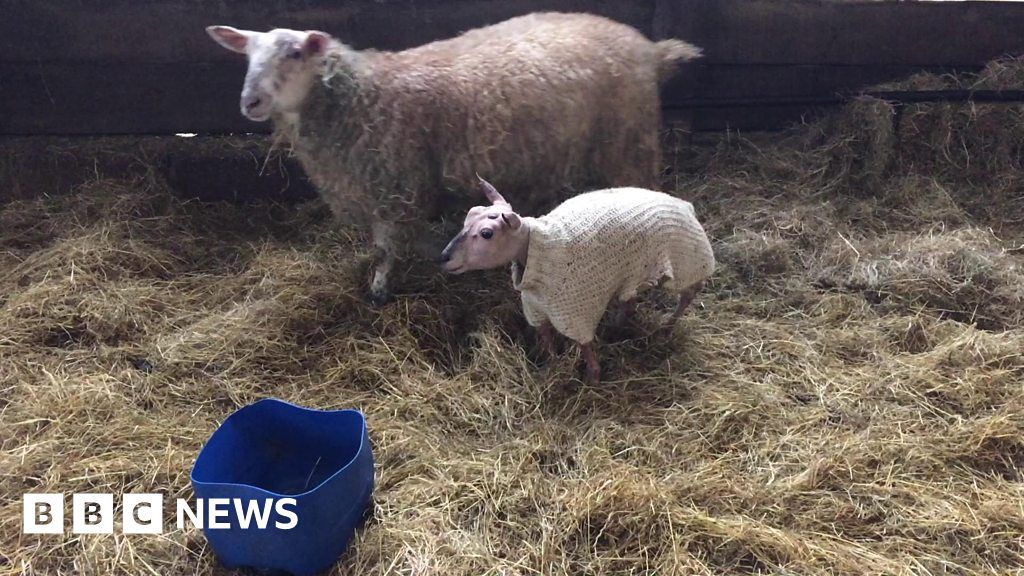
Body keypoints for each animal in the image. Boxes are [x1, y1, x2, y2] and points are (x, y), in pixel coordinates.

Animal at [206, 12, 701, 305]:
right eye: (247, 56)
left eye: (294, 53)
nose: (250, 103)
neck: (363, 97)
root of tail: (649, 48)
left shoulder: (395, 186)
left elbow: (387, 245)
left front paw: (382, 287)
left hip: (629, 139)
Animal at [440, 178, 714, 382]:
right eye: (469, 215)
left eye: (486, 233)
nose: (443, 257)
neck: (540, 250)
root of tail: (685, 205)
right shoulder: (536, 308)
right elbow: (547, 339)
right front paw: (552, 366)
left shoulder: (576, 312)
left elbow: (585, 348)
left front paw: (593, 379)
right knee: (629, 300)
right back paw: (619, 325)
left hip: (688, 261)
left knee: (689, 292)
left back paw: (667, 327)